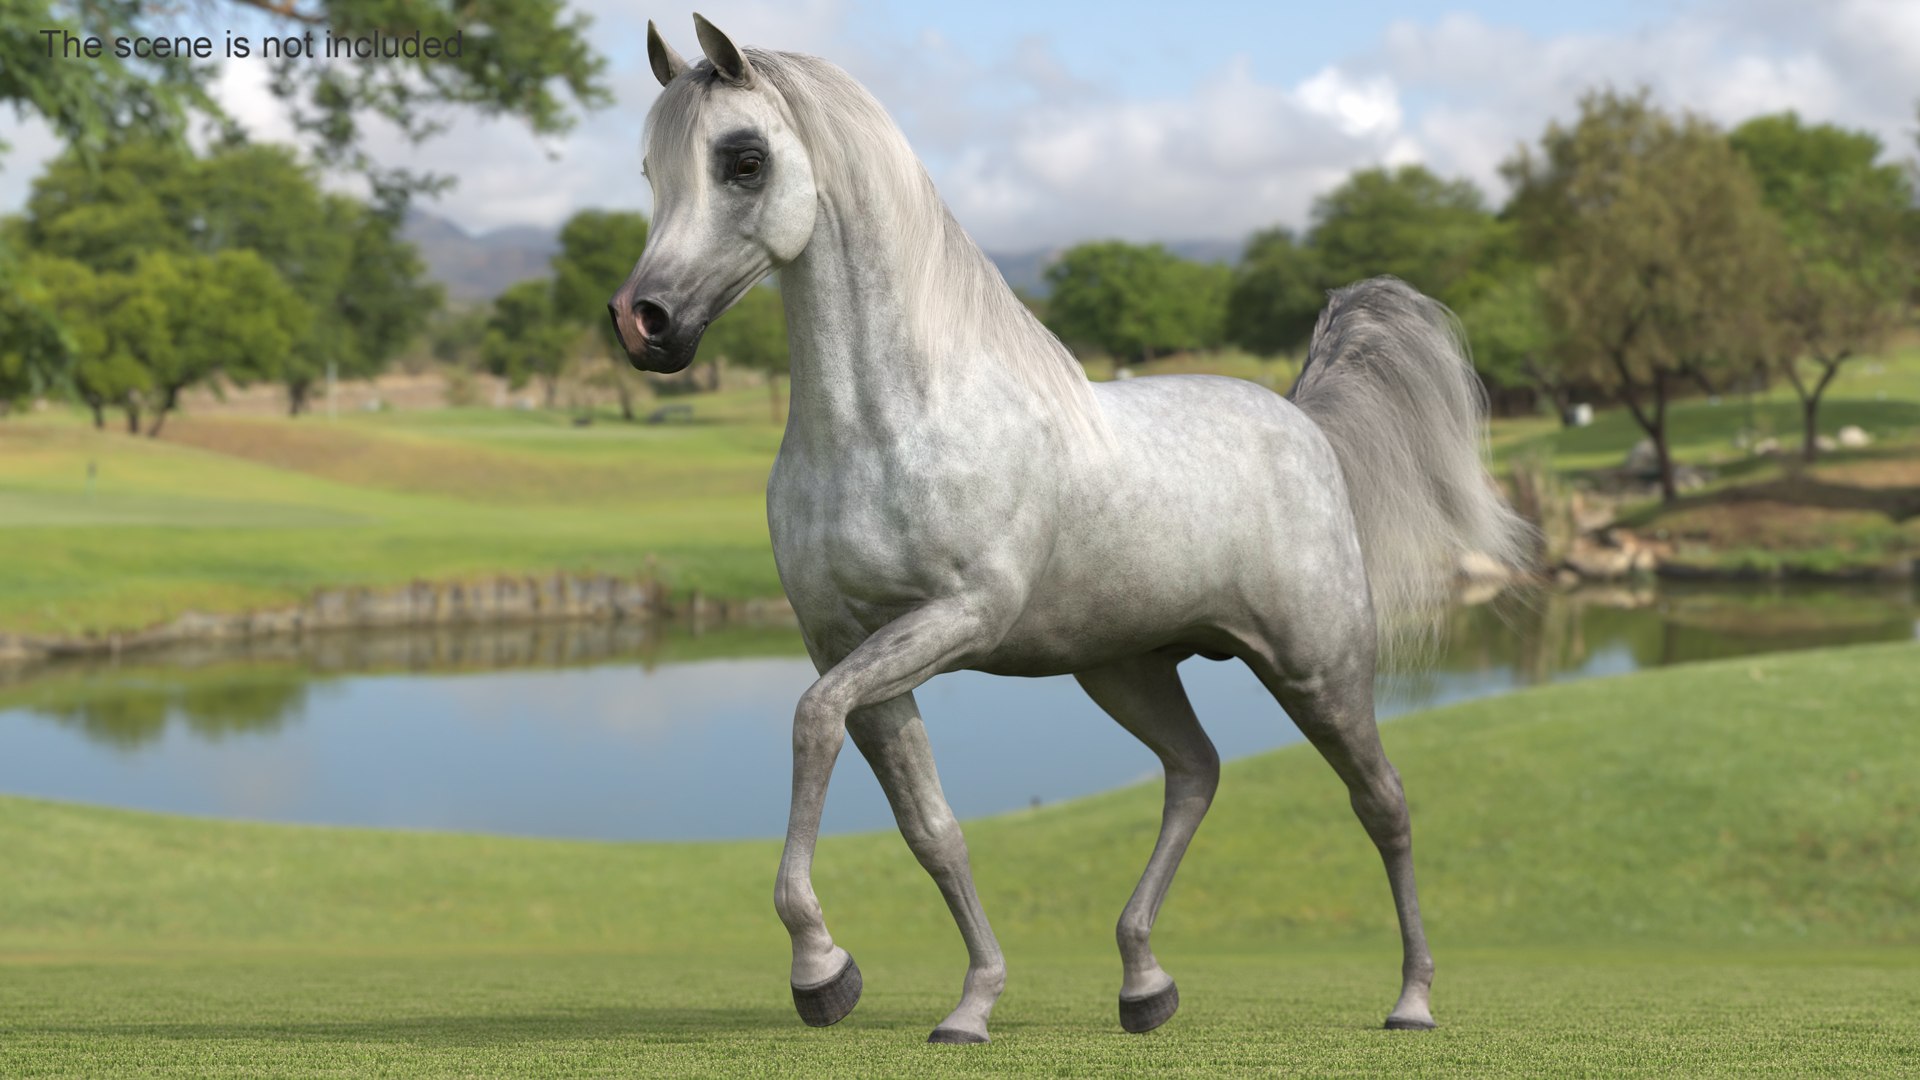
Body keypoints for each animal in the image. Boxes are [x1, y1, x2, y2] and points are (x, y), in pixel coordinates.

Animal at [609, 14, 1532, 1046]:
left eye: (744, 159)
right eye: (649, 169)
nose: (642, 323)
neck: (895, 427)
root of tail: (1305, 423)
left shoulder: (955, 620)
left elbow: (812, 725)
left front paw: (821, 970)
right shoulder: (847, 645)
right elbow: (929, 825)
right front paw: (962, 1004)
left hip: (1317, 667)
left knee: (1383, 803)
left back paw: (1411, 1000)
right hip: (1127, 668)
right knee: (1196, 772)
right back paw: (1144, 985)